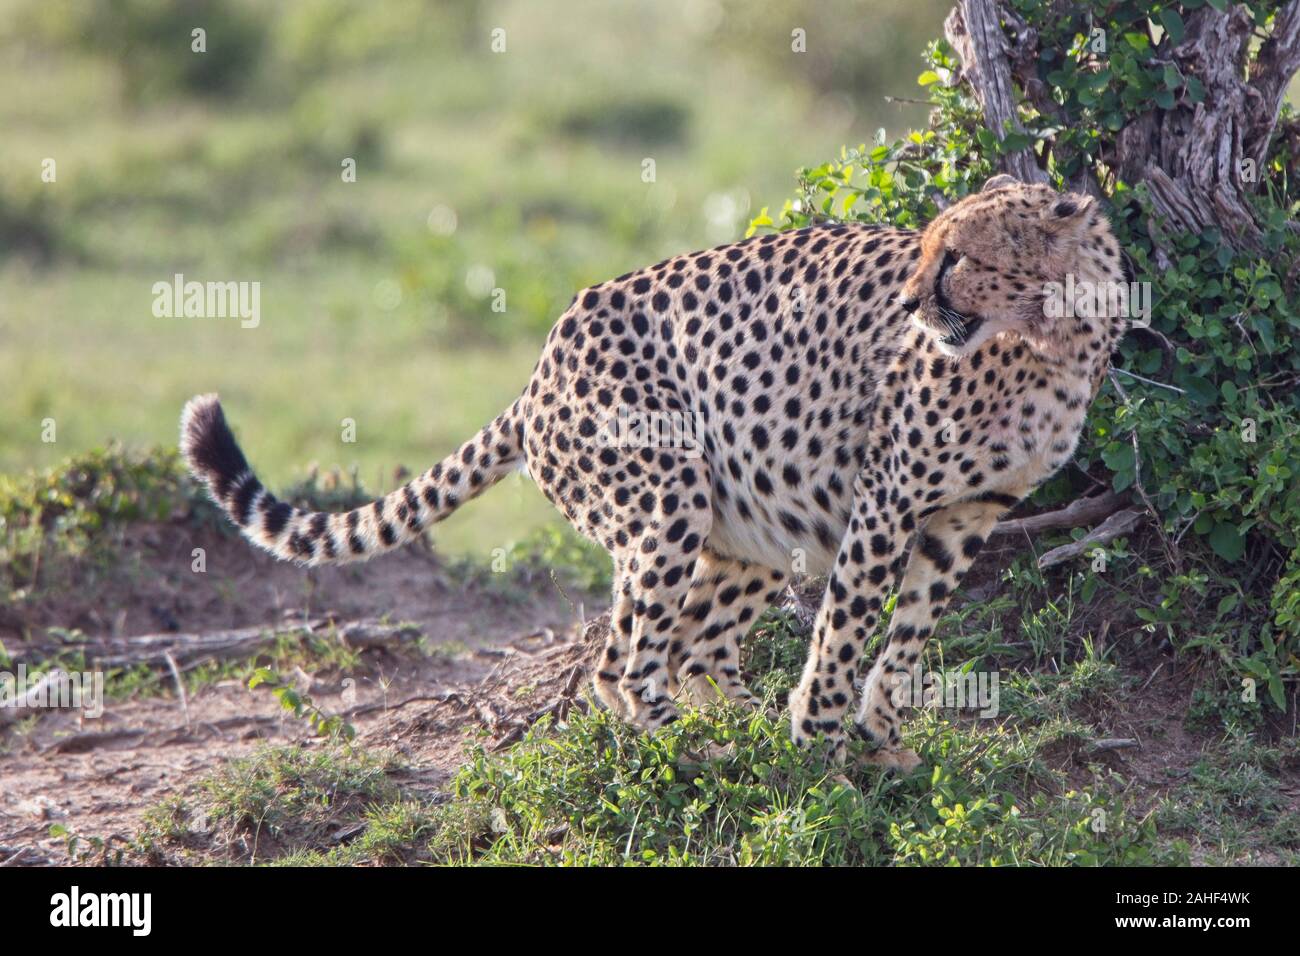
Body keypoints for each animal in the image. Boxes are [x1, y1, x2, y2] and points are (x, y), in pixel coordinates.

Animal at [181, 174, 1129, 773]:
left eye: (956, 256)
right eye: (924, 249)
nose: (907, 303)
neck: (1051, 338)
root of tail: (539, 369)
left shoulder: (965, 517)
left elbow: (907, 636)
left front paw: (882, 736)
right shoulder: (889, 499)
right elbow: (846, 630)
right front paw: (822, 747)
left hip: (758, 517)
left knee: (684, 645)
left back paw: (733, 729)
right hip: (669, 493)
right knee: (630, 661)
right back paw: (696, 751)